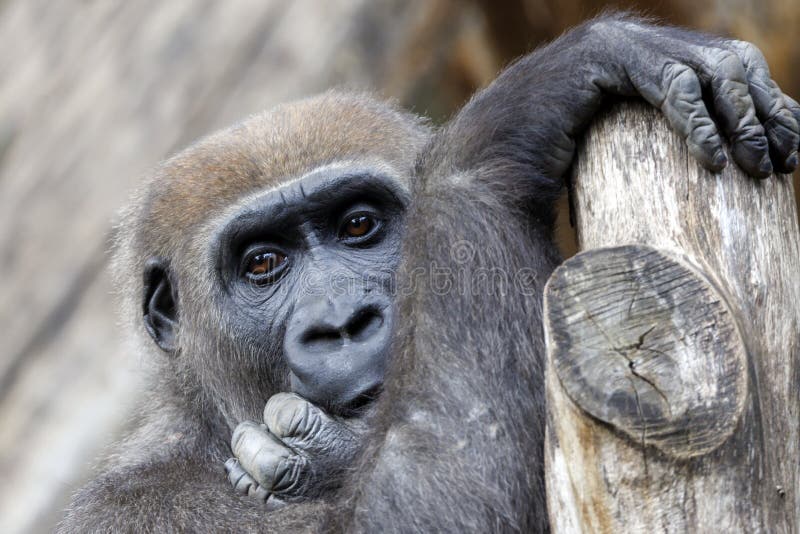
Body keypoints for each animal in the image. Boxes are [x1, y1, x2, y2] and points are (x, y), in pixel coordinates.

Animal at [59, 14, 799, 533]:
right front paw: (501, 132)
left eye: (359, 225)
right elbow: (412, 516)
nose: (341, 323)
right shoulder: (131, 511)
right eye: (263, 264)